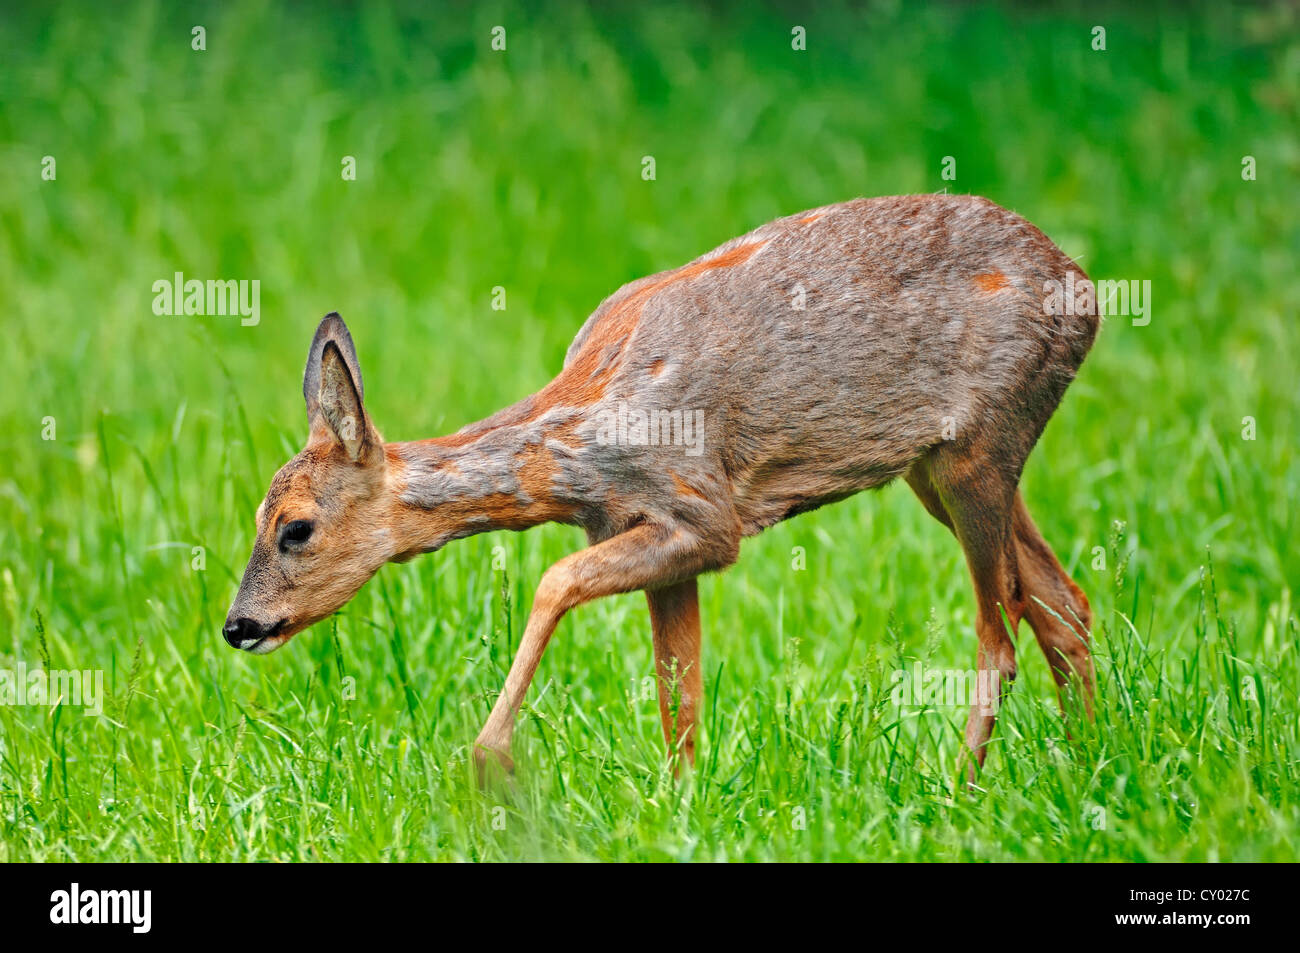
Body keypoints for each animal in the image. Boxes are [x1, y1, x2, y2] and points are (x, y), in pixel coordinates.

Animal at [223, 194, 1099, 784]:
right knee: (1061, 600)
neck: (579, 439)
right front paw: (681, 804)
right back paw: (1089, 757)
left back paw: (960, 785)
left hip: (978, 448)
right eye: (257, 514)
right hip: (939, 466)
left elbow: (555, 579)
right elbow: (680, 699)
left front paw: (488, 757)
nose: (239, 625)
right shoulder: (651, 537)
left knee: (1001, 630)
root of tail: (1084, 290)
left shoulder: (702, 514)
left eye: (295, 526)